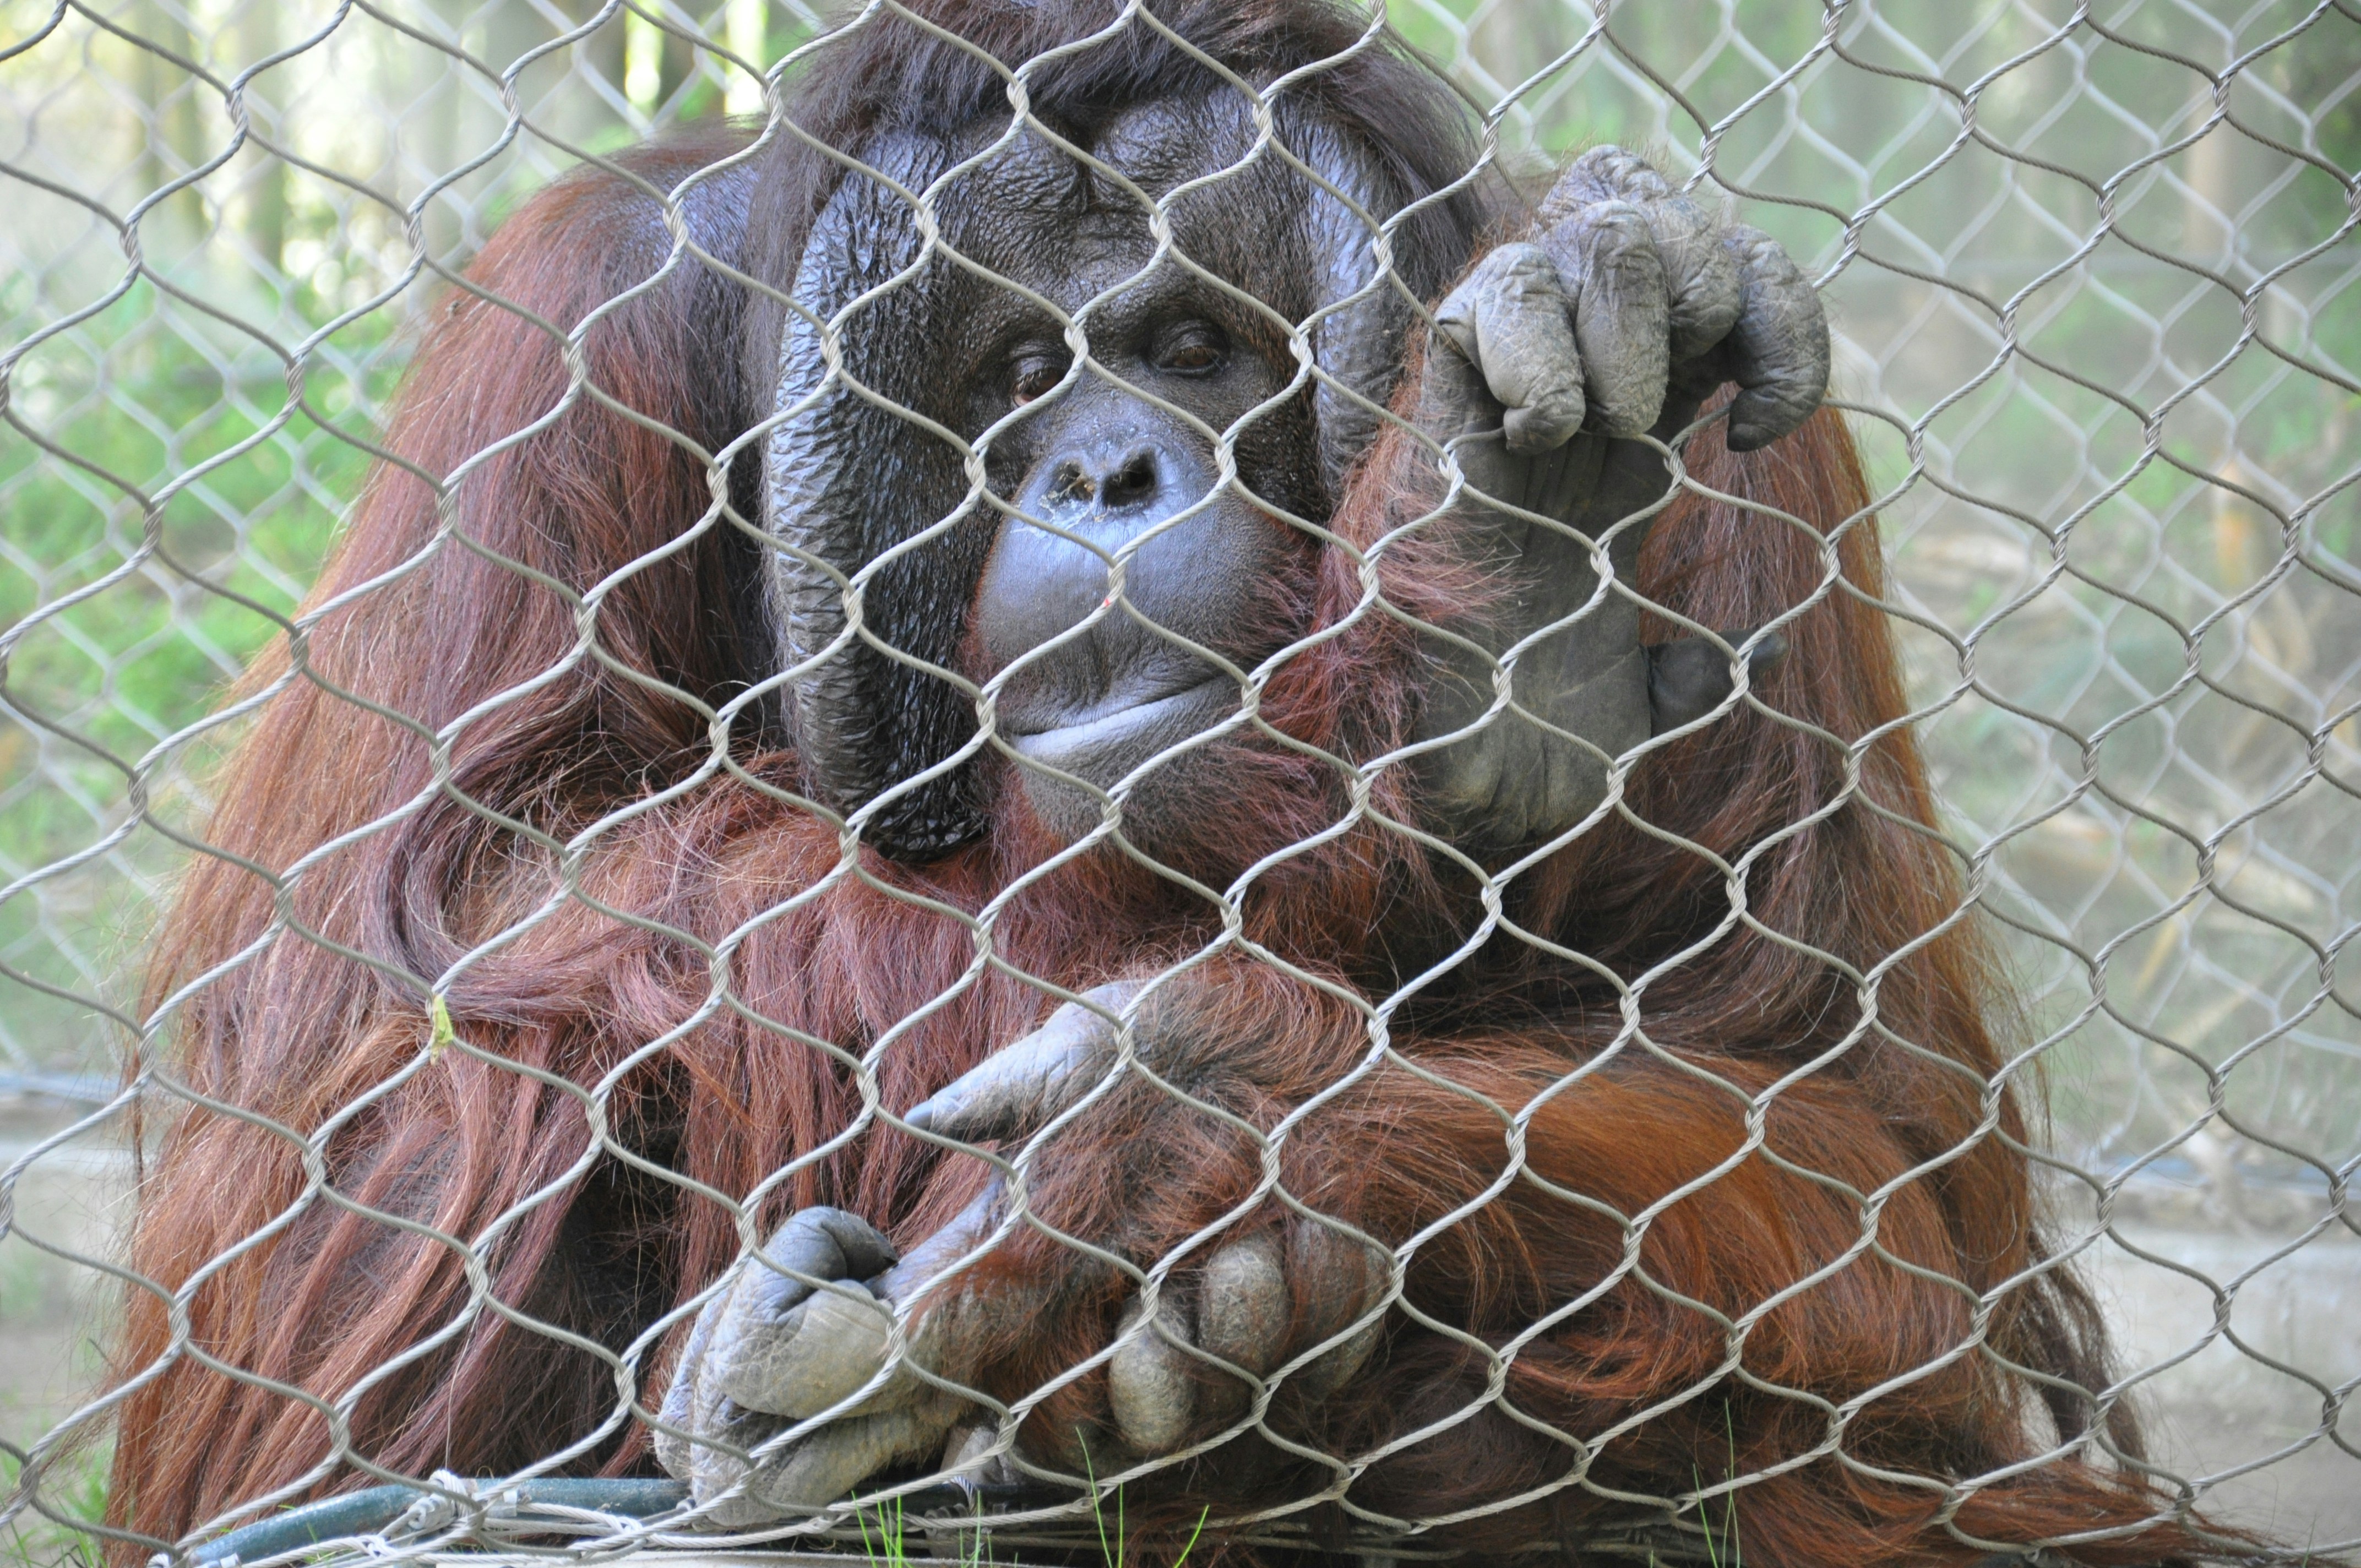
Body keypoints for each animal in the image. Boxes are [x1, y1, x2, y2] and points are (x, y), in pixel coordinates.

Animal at [109, 3, 2238, 1564]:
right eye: (1011, 375)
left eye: (1193, 346)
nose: (1109, 470)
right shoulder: (563, 340)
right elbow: (397, 1043)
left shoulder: (1757, 479)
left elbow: (1863, 1156)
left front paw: (1204, 1123)